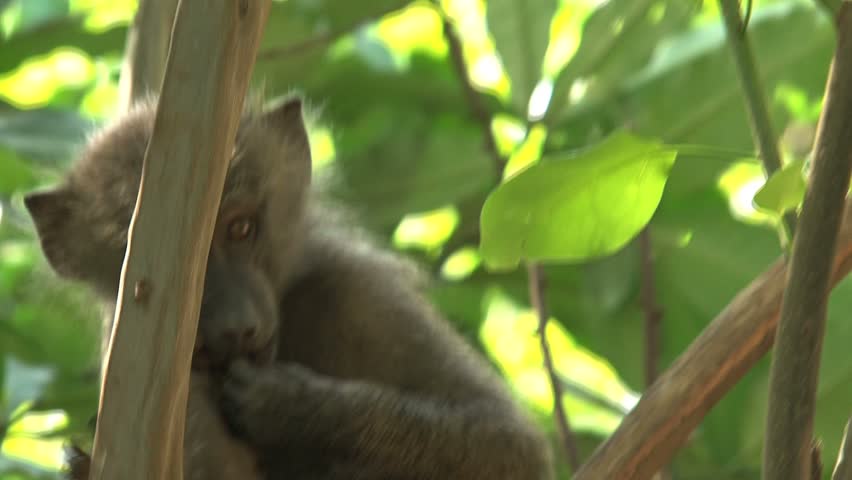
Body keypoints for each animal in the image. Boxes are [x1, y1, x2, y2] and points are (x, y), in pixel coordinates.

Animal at [24, 94, 554, 479]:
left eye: (240, 228)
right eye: (139, 253)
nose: (235, 329)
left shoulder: (355, 296)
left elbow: (511, 446)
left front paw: (290, 407)